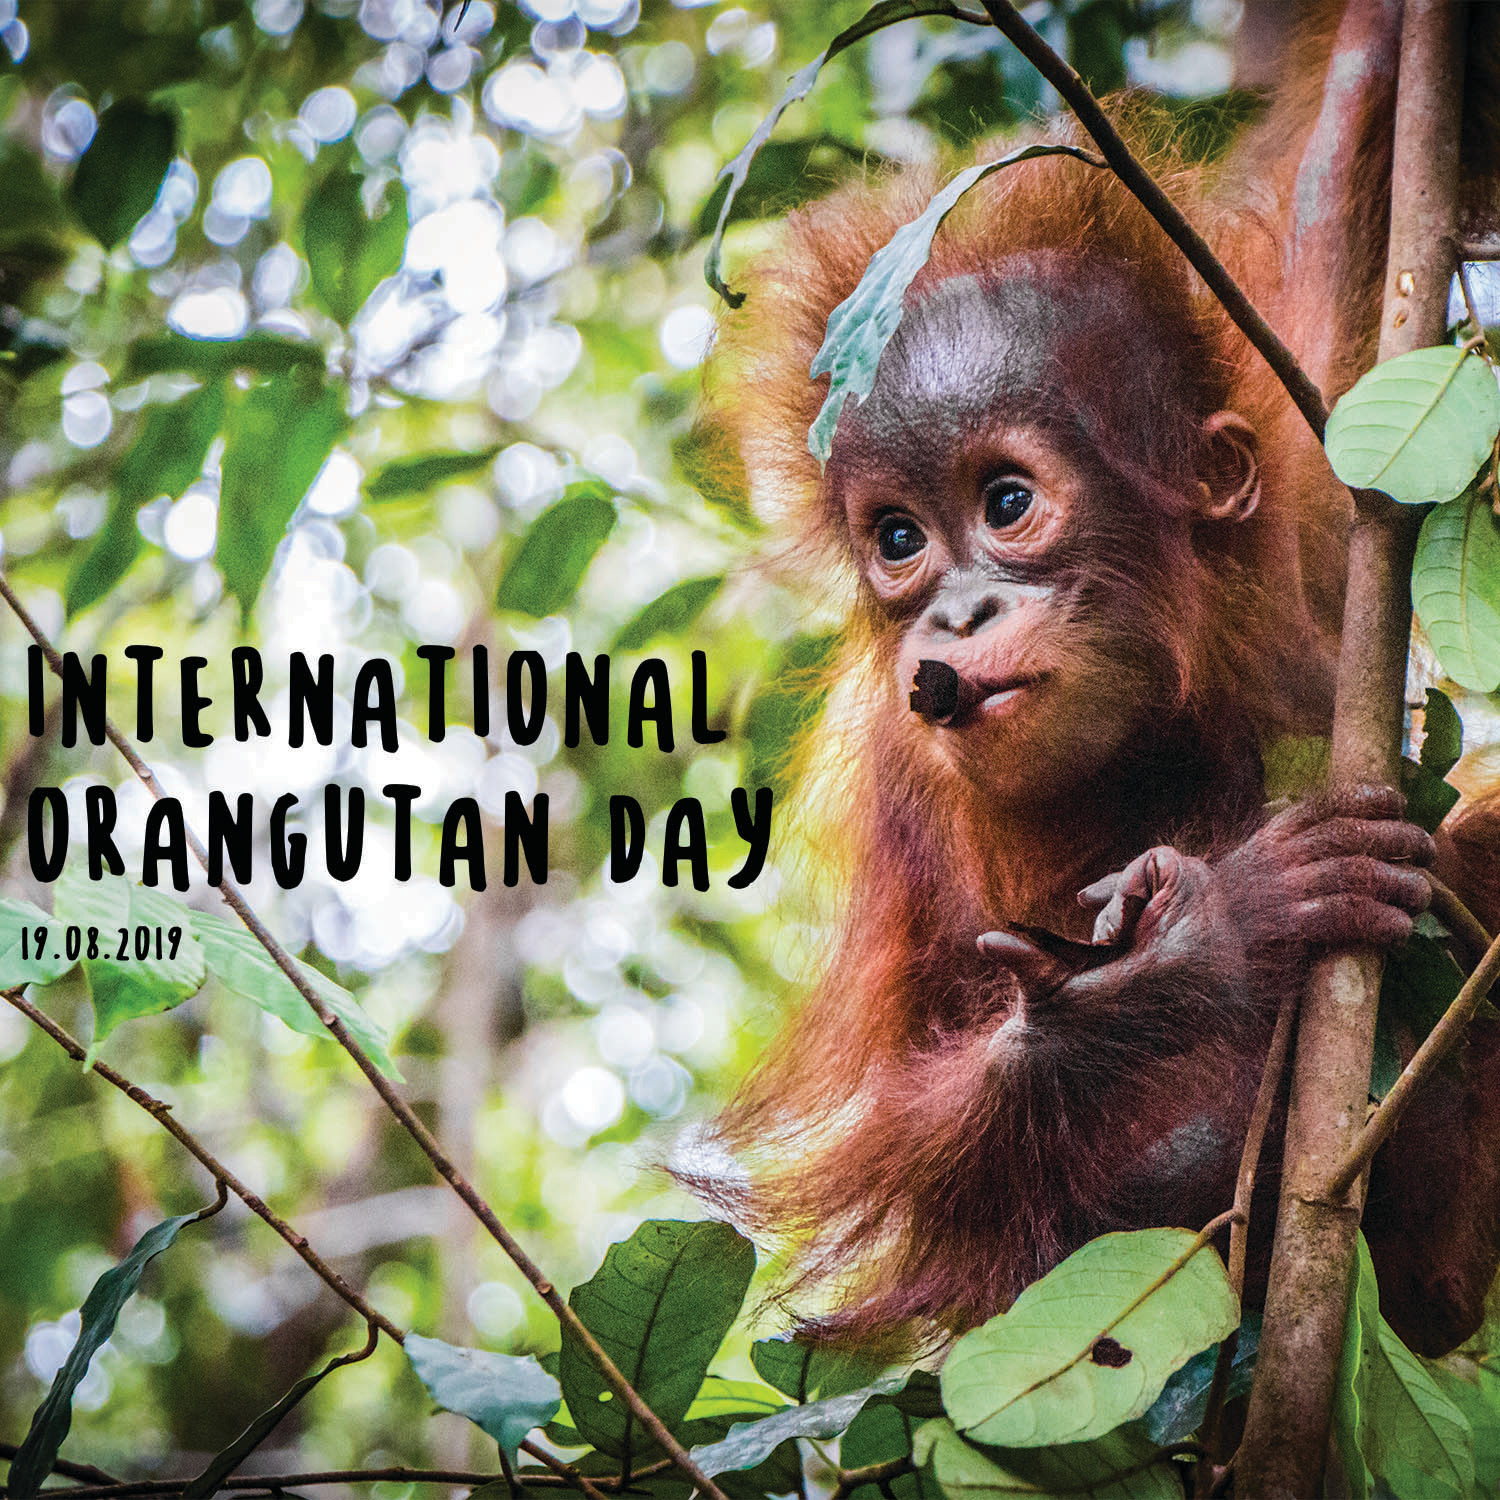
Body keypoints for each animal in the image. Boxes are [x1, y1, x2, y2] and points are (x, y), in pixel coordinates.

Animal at [686, 1, 1500, 1358]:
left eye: (1007, 503)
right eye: (898, 537)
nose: (953, 616)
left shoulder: (1315, 510)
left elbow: (1352, 157)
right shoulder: (904, 782)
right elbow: (911, 1162)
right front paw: (1175, 964)